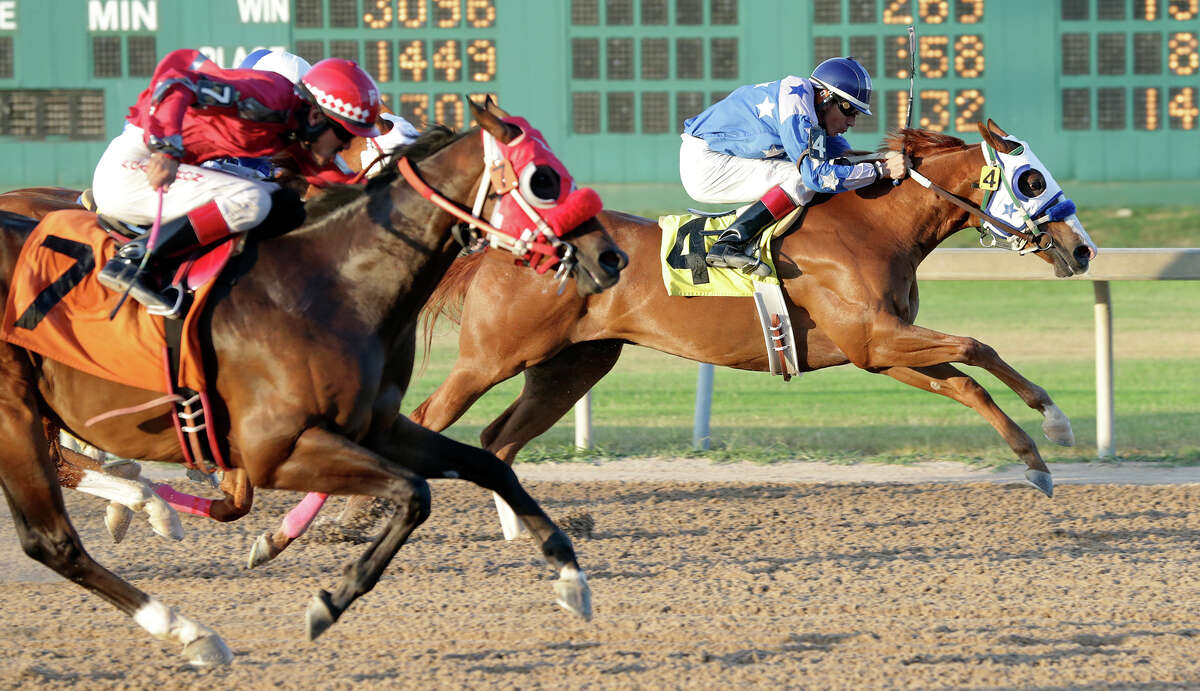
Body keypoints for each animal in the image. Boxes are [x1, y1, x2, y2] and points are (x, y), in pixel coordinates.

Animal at [0, 100, 626, 666]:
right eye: (544, 179)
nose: (612, 257)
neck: (330, 283)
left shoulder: (377, 427)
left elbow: (488, 465)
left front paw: (572, 579)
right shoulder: (275, 452)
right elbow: (414, 494)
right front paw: (330, 598)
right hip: (15, 412)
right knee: (51, 538)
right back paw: (187, 620)